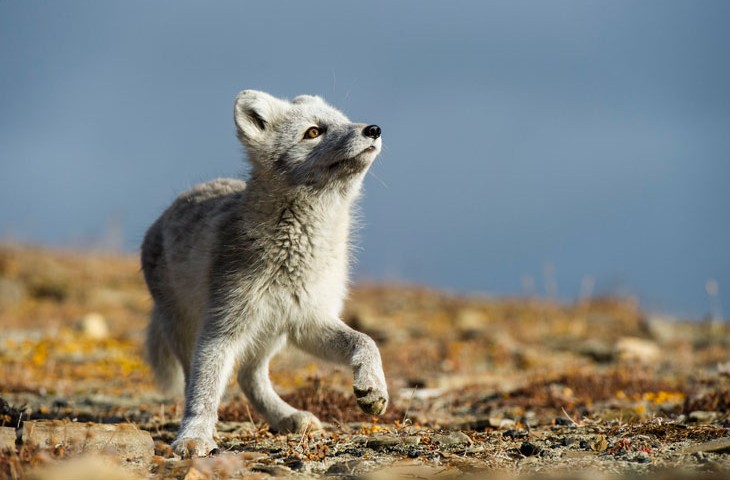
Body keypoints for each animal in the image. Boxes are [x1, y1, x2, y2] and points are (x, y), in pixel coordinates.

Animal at [140, 90, 388, 457]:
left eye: (345, 121)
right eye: (313, 132)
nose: (373, 129)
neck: (298, 253)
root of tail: (167, 211)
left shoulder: (308, 321)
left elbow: (366, 341)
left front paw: (373, 388)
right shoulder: (221, 327)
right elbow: (203, 392)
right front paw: (194, 436)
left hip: (272, 332)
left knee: (249, 377)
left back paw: (287, 417)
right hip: (192, 331)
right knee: (197, 382)